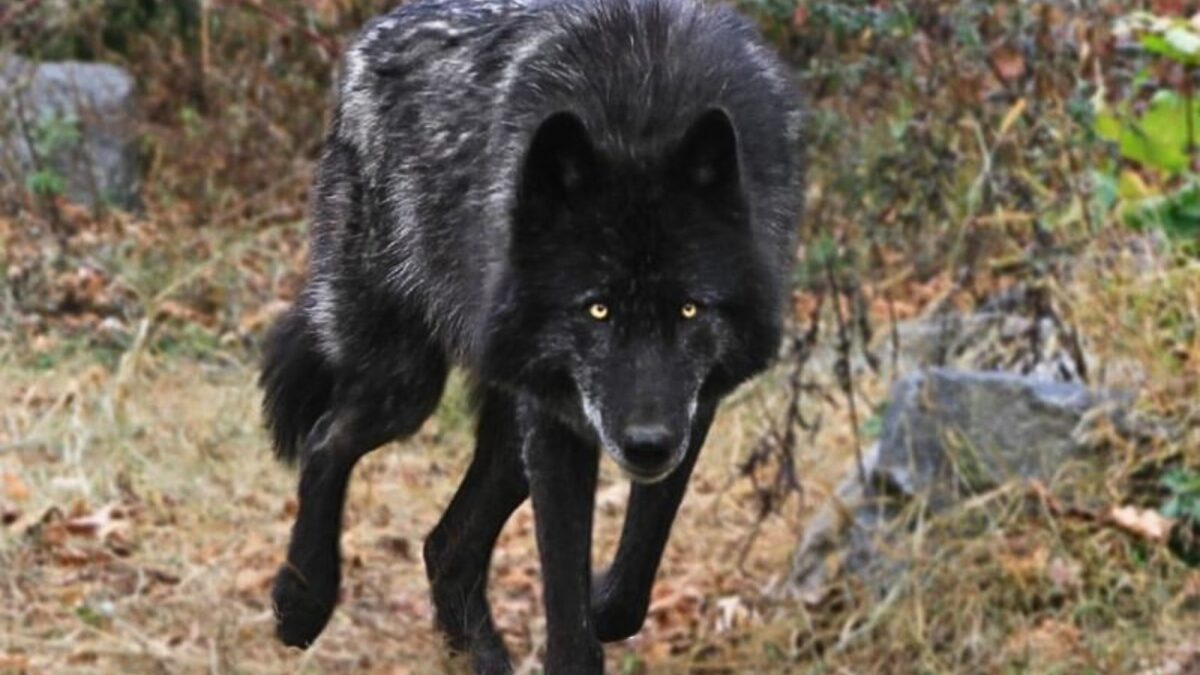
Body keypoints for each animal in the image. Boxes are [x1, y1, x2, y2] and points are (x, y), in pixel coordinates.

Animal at [260, 0, 804, 671]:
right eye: (596, 310)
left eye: (689, 310)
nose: (645, 445)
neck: (642, 114)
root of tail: (370, 38)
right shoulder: (559, 424)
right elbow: (569, 612)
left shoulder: (692, 408)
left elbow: (629, 587)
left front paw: (602, 603)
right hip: (408, 387)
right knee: (325, 440)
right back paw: (300, 602)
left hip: (510, 430)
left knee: (444, 547)